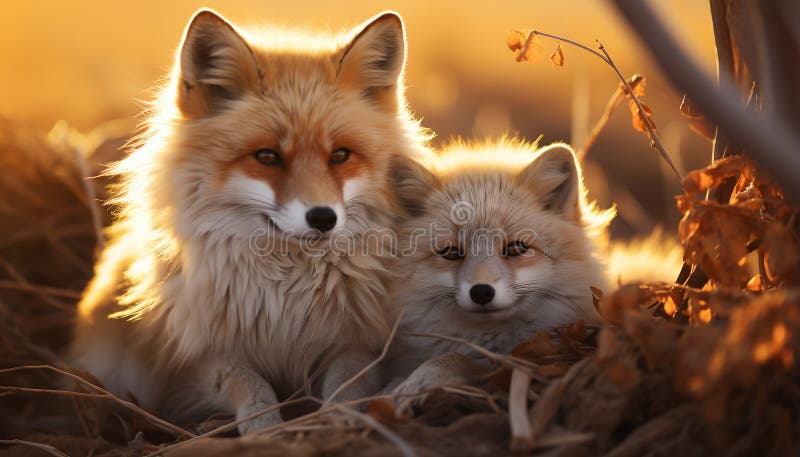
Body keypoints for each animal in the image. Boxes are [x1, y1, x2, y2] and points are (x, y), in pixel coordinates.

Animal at [70, 9, 428, 433]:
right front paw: (265, 429)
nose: (323, 218)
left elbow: (347, 387)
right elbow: (251, 385)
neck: (287, 296)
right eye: (267, 157)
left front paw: (339, 421)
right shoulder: (194, 361)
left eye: (340, 155)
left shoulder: (358, 343)